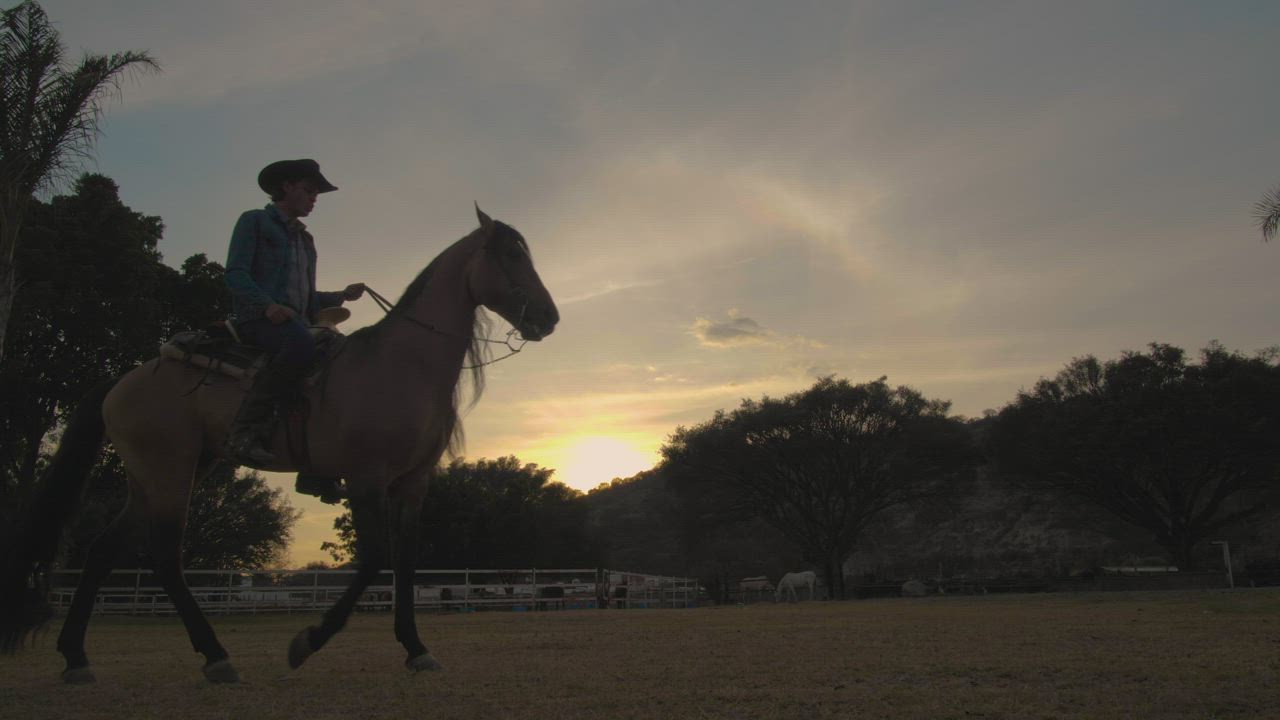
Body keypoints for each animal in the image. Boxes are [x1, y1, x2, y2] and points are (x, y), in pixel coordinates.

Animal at [0, 205, 558, 684]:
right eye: (511, 255)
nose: (549, 317)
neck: (400, 365)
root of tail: (122, 382)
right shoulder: (366, 478)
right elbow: (374, 559)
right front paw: (307, 642)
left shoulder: (413, 483)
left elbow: (404, 562)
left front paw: (417, 649)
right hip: (169, 472)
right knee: (165, 558)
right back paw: (217, 657)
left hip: (160, 475)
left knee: (101, 552)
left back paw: (77, 658)